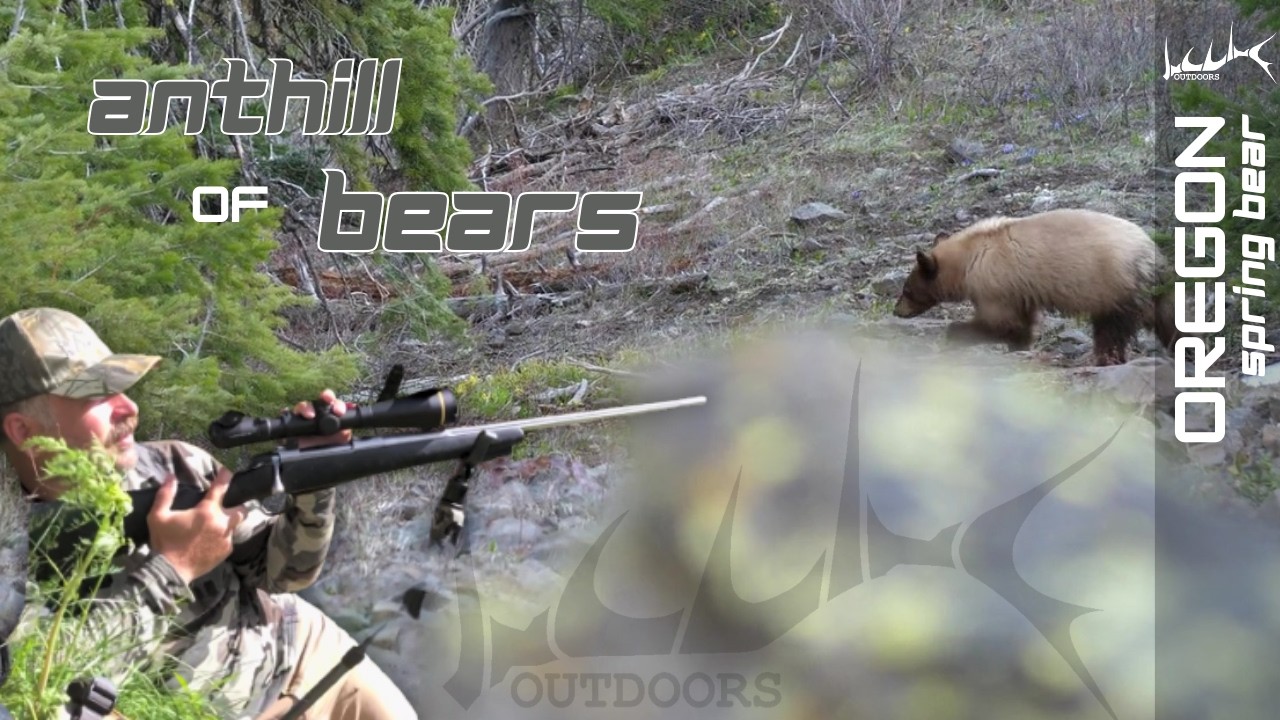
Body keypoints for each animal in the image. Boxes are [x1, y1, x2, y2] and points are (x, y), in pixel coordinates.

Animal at [891, 208, 1180, 366]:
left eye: (906, 291)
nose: (897, 311)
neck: (969, 257)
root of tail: (1153, 254)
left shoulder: (994, 283)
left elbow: (1002, 323)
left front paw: (956, 335)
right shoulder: (1019, 290)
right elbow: (1022, 325)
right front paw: (1019, 349)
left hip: (1114, 286)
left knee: (1111, 328)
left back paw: (1104, 358)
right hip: (1151, 292)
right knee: (1168, 319)